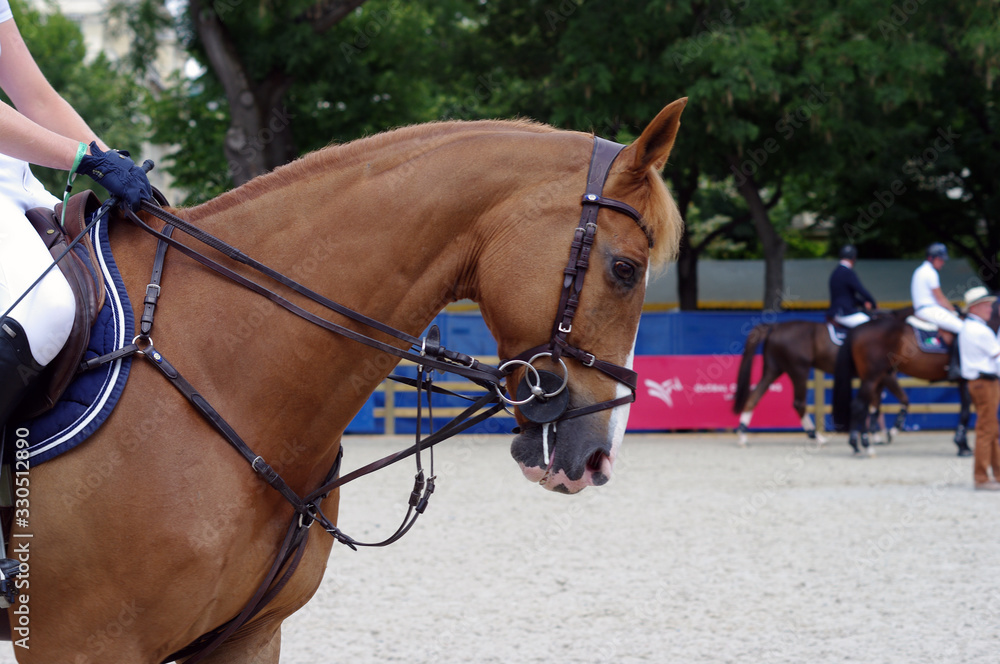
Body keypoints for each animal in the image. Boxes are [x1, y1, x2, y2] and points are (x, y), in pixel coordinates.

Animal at [733, 318, 909, 447]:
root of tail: (776, 327)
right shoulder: (884, 376)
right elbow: (902, 400)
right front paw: (890, 432)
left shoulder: (876, 379)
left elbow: (875, 406)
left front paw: (876, 436)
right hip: (799, 370)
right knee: (799, 403)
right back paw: (816, 436)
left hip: (773, 369)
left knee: (753, 397)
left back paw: (742, 436)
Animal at [833, 299, 1000, 456]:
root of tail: (859, 327)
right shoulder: (966, 380)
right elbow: (965, 412)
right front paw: (962, 446)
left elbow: (967, 410)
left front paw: (963, 445)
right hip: (872, 378)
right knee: (859, 406)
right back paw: (864, 445)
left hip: (872, 378)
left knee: (866, 407)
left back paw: (860, 443)